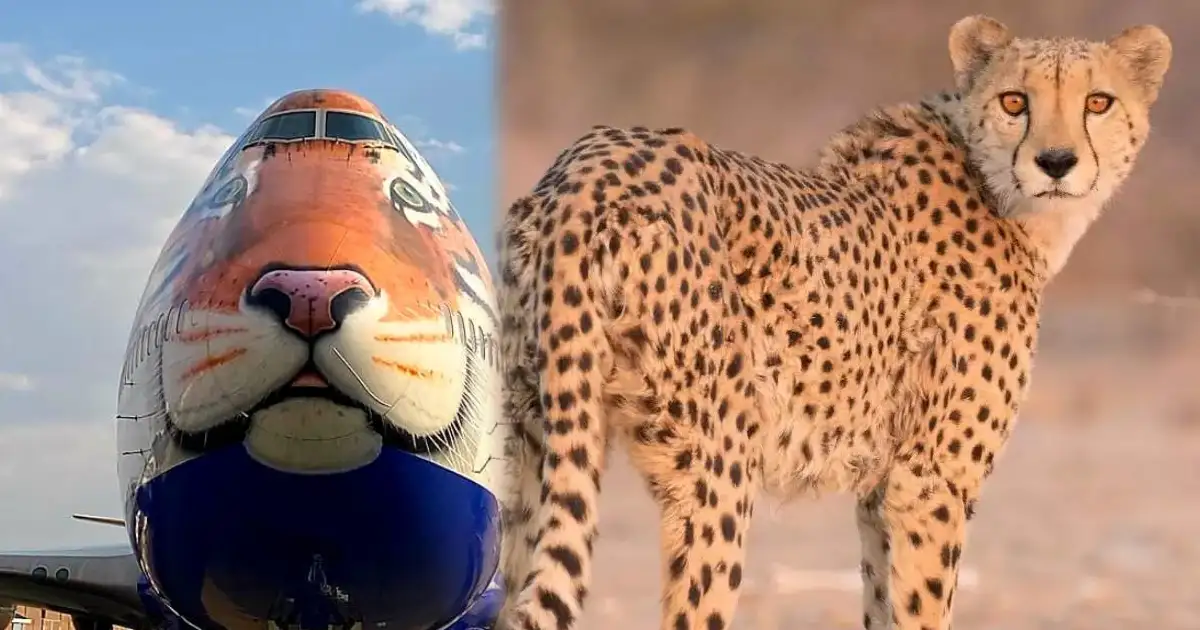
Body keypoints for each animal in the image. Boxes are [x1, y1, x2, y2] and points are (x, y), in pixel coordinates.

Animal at [494, 15, 1172, 630]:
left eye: (1098, 102)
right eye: (1014, 101)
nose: (1056, 162)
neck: (1004, 196)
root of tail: (590, 168)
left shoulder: (882, 492)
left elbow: (881, 600)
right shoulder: (931, 482)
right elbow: (926, 609)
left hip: (535, 437)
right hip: (717, 464)